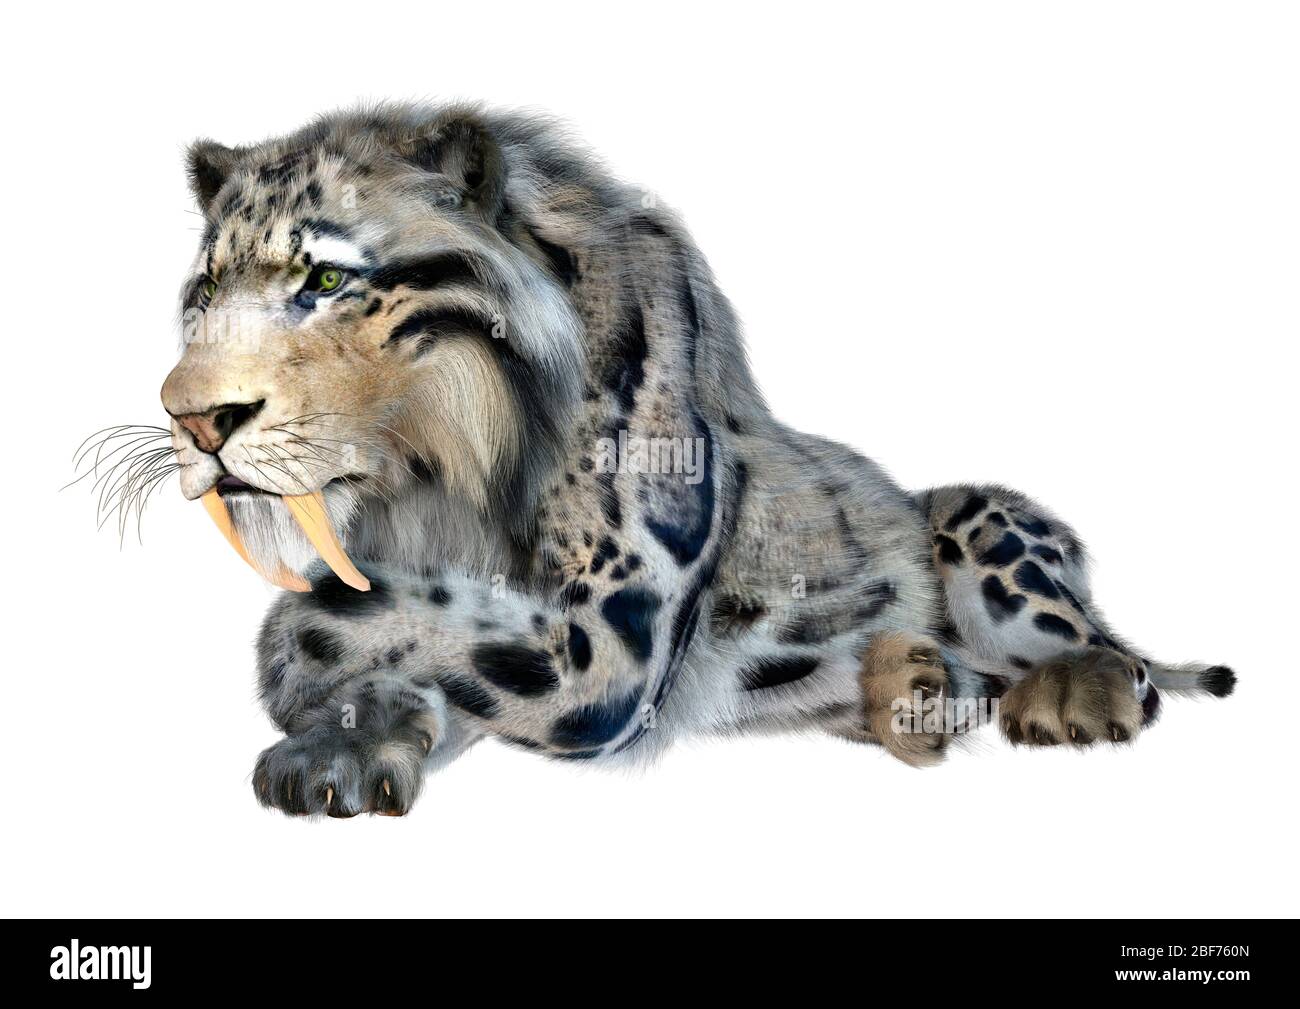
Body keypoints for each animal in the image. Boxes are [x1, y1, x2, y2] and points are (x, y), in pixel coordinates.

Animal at [100, 102, 1234, 815]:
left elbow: (325, 619)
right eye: (204, 291)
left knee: (1118, 657)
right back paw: (908, 684)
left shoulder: (609, 630)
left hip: (981, 519)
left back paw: (1061, 693)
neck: (430, 470)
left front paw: (315, 697)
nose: (194, 420)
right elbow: (410, 635)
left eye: (327, 278)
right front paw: (342, 747)